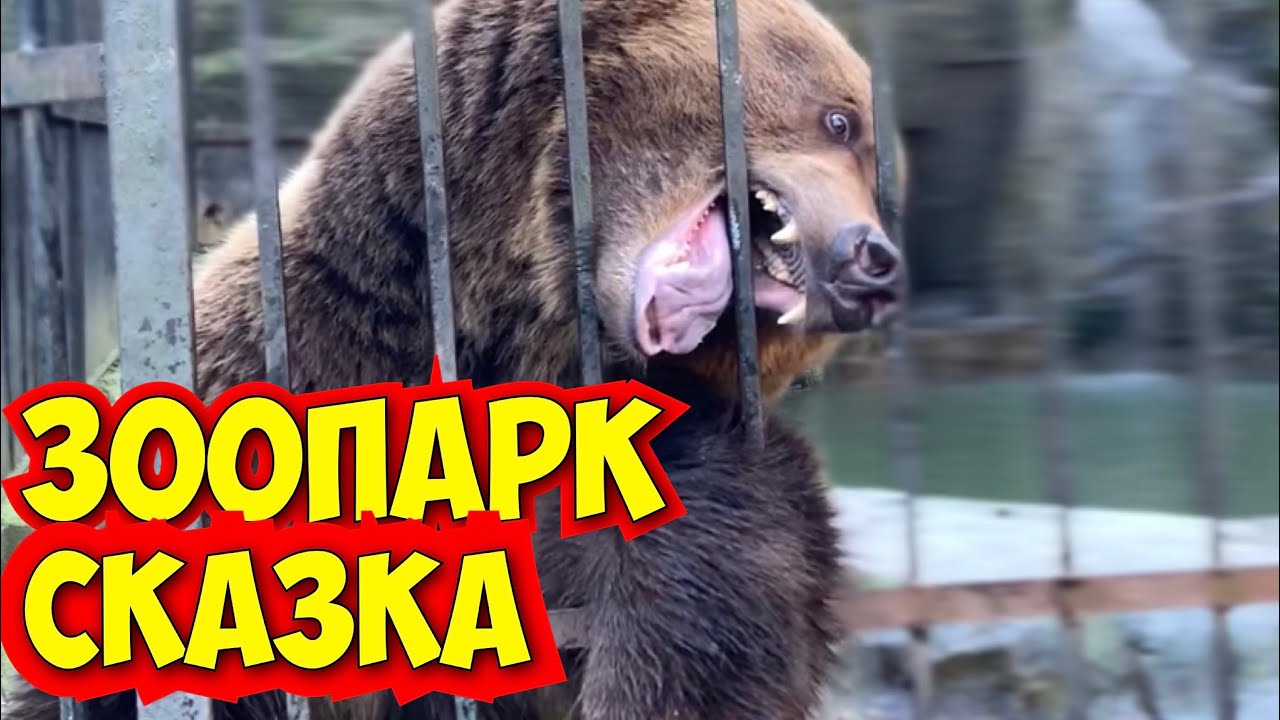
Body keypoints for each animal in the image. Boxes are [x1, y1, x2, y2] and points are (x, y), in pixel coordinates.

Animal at [3, 0, 903, 718]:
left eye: (877, 173)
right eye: (839, 121)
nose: (874, 261)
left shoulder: (707, 508)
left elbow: (699, 617)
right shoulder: (277, 369)